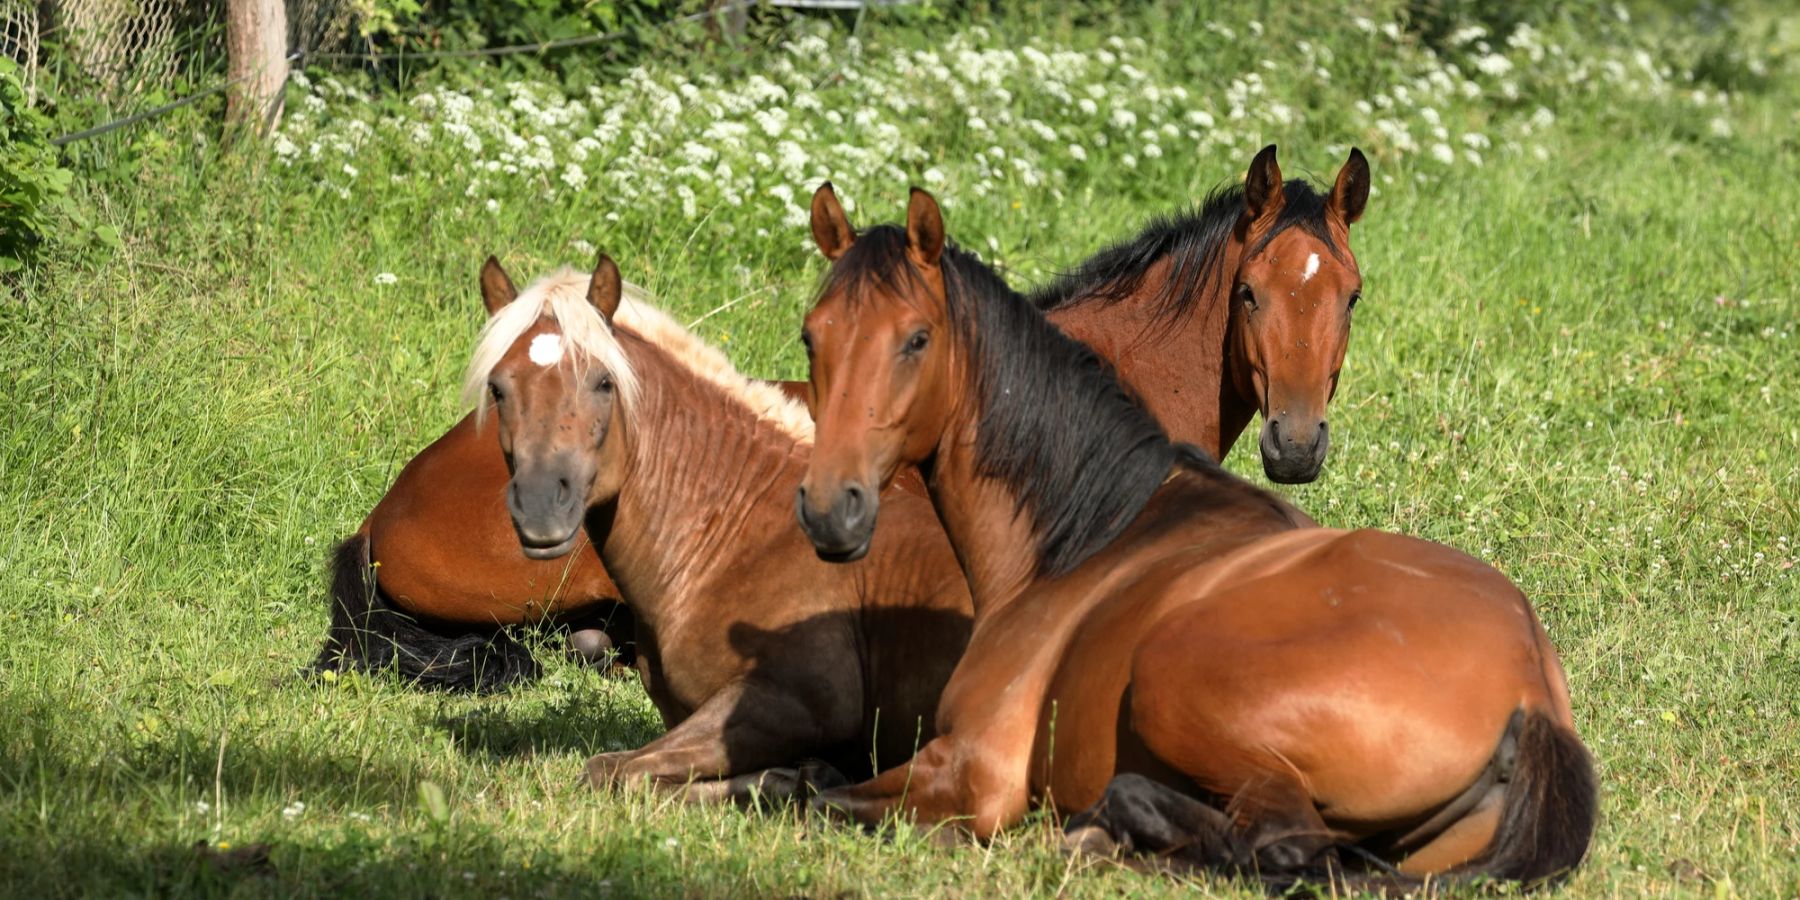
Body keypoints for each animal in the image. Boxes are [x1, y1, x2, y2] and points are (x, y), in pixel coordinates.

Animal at [459, 251, 977, 801]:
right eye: (498, 387)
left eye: (603, 383)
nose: (539, 507)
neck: (746, 531)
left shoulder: (795, 702)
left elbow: (613, 768)